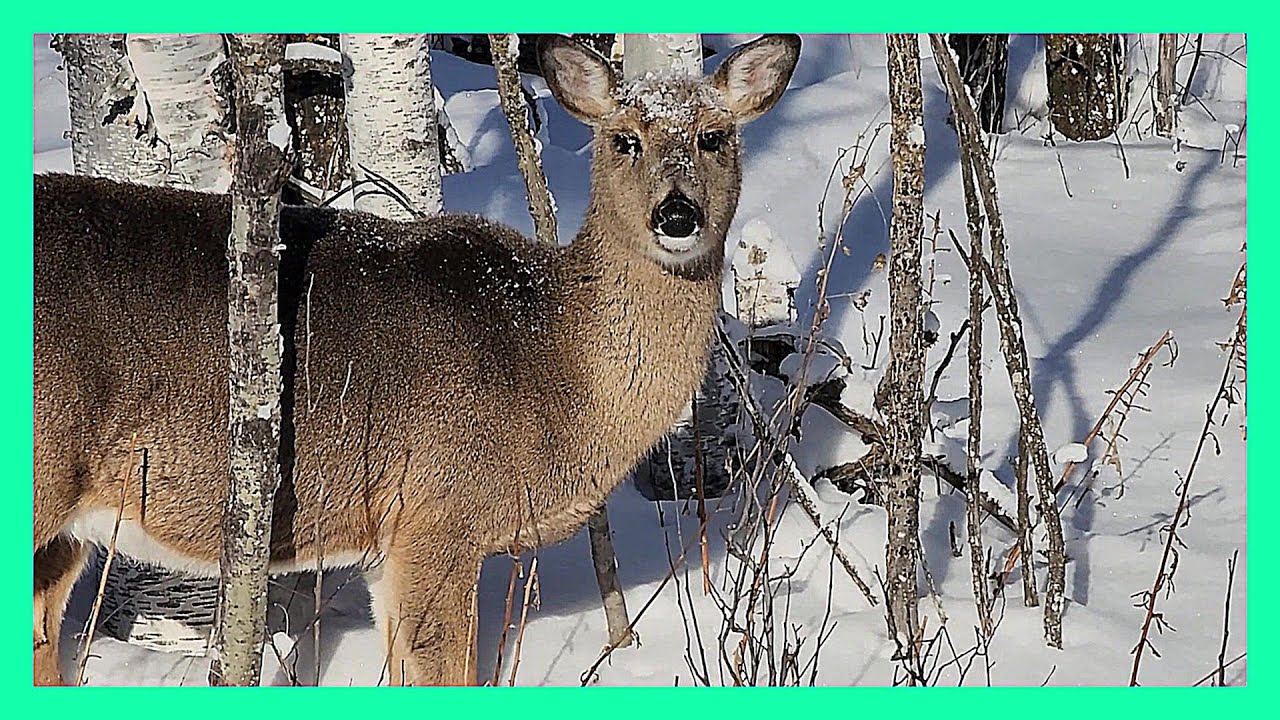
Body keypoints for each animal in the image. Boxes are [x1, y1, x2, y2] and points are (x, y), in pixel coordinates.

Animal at [33, 33, 801, 686]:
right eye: (624, 139)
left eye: (714, 136)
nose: (677, 216)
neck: (551, 361)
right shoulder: (437, 516)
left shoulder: (390, 541)